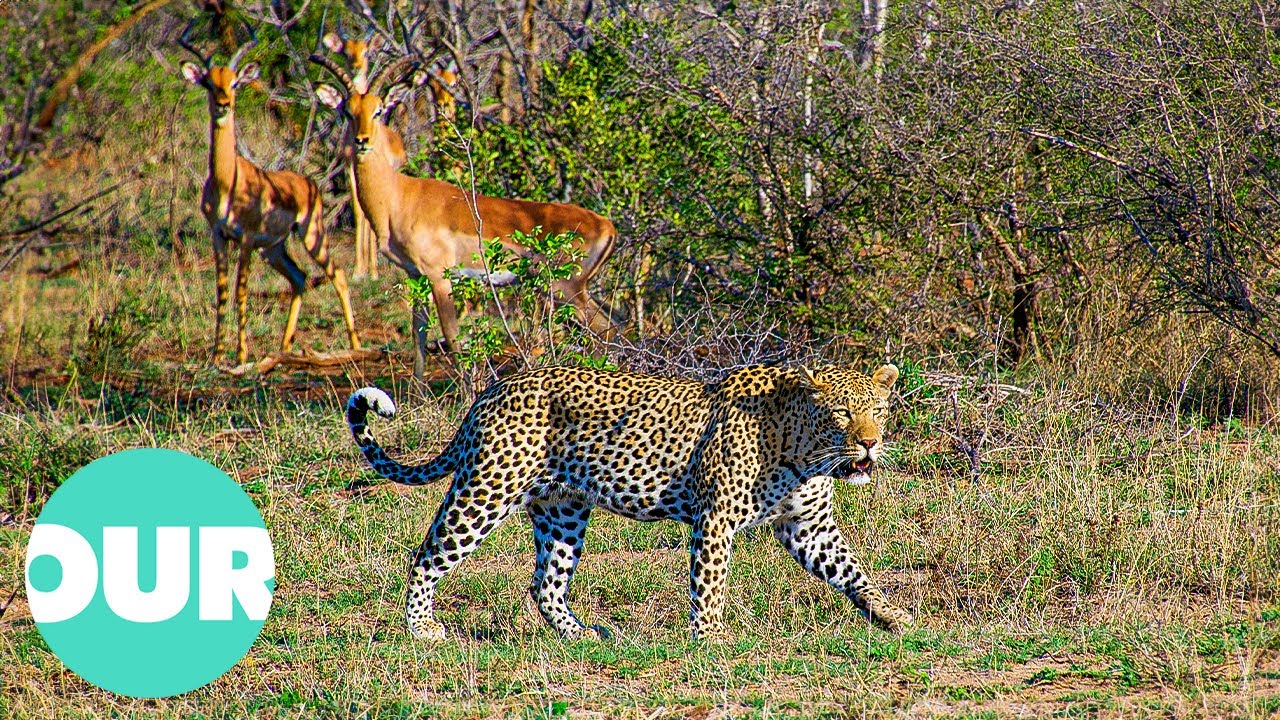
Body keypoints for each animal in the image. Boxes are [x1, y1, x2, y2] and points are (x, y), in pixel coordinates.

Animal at [345, 363, 913, 641]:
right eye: (842, 413)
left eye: (879, 410)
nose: (869, 443)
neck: (806, 449)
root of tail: (493, 390)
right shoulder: (716, 518)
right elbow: (710, 585)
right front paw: (710, 640)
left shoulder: (808, 524)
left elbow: (853, 570)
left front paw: (893, 617)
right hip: (487, 489)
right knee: (426, 557)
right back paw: (422, 630)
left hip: (563, 507)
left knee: (545, 583)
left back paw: (581, 636)